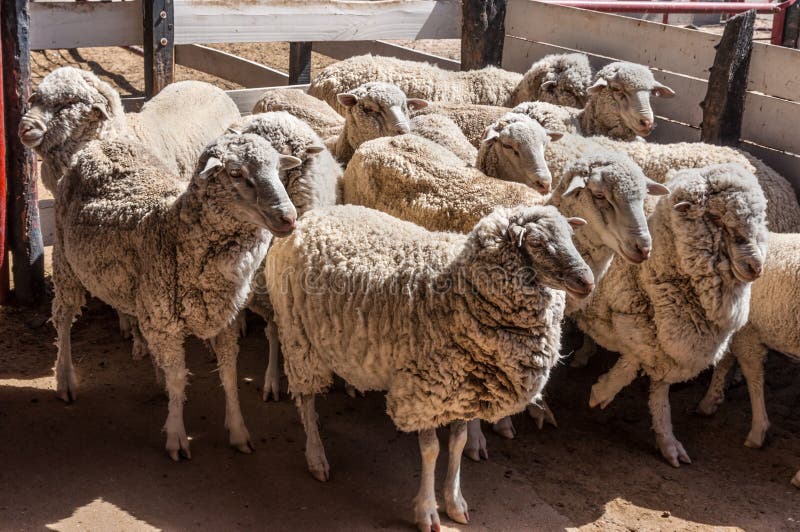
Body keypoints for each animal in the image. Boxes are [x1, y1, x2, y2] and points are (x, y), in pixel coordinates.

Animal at [52, 132, 301, 460]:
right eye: (236, 173)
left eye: (277, 168)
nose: (288, 218)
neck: (173, 233)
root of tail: (100, 143)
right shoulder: (167, 325)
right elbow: (179, 378)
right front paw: (176, 436)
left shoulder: (224, 320)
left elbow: (229, 375)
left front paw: (238, 431)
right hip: (64, 263)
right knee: (63, 319)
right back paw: (65, 379)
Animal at [265, 203, 595, 530]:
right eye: (536, 243)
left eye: (571, 236)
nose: (588, 282)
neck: (459, 291)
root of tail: (312, 216)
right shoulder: (422, 390)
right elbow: (431, 450)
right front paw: (427, 511)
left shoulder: (464, 391)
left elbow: (458, 443)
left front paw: (455, 502)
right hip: (298, 338)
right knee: (305, 397)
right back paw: (316, 456)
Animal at [572, 163, 768, 466]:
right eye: (716, 217)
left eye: (760, 220)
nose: (756, 267)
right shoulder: (637, 324)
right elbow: (632, 366)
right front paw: (601, 392)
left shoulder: (666, 338)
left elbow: (658, 386)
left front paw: (666, 440)